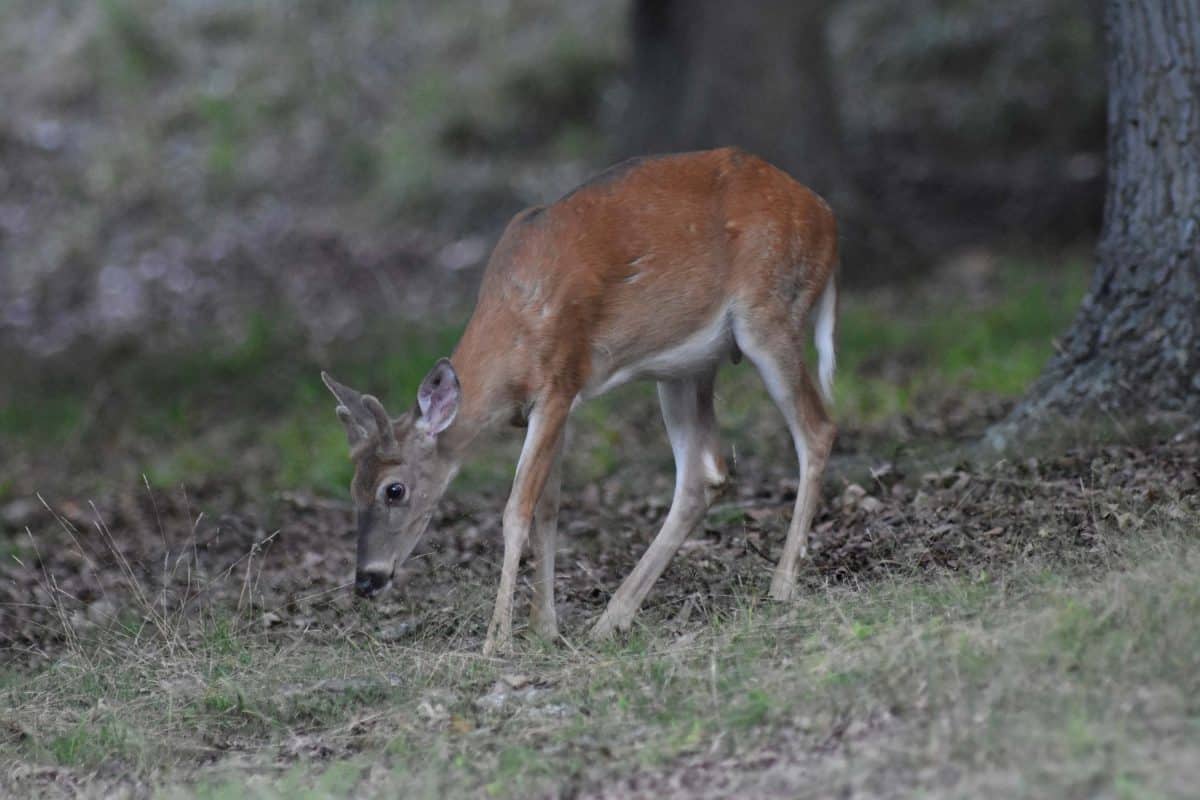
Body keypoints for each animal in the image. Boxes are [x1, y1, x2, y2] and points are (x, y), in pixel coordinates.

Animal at [321, 147, 838, 656]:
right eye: (352, 488)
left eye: (394, 489)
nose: (366, 580)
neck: (515, 332)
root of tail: (827, 216)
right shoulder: (557, 405)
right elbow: (548, 508)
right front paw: (543, 627)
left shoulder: (558, 382)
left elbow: (517, 509)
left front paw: (497, 639)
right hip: (685, 366)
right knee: (705, 471)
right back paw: (612, 618)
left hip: (769, 313)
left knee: (818, 428)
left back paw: (781, 585)